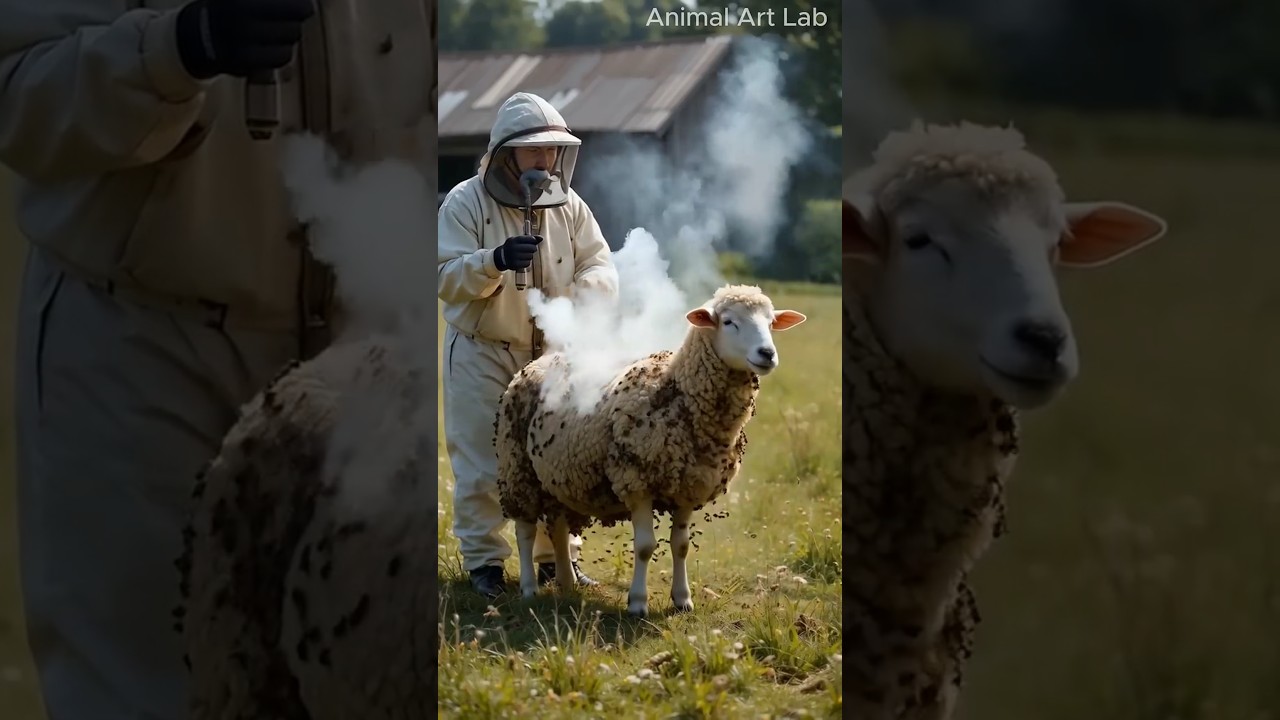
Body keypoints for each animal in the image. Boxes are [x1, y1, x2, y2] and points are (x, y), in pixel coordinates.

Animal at [494, 284, 807, 617]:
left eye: (771, 322)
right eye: (729, 322)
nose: (767, 354)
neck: (678, 389)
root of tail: (539, 361)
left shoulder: (688, 488)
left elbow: (680, 545)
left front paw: (683, 599)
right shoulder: (637, 484)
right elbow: (645, 547)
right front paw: (638, 602)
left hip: (557, 477)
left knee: (558, 528)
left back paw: (566, 584)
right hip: (517, 468)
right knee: (525, 532)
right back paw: (529, 588)